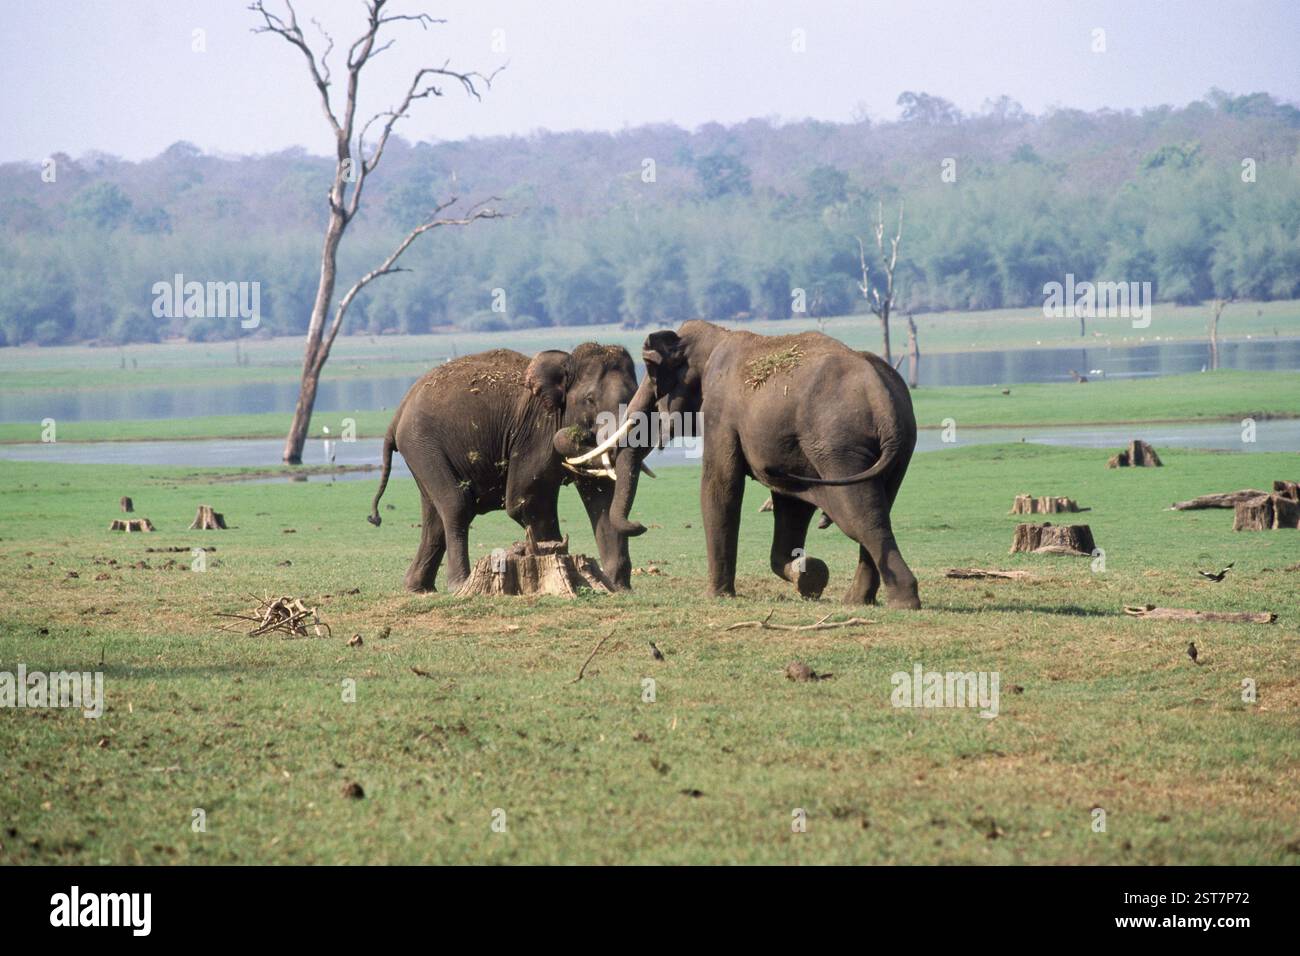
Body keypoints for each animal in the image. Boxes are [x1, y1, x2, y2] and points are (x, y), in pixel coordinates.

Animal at [367, 344, 646, 593]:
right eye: (590, 399)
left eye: (636, 395)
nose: (641, 525)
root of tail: (398, 413)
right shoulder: (535, 435)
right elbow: (527, 501)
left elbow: (602, 498)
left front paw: (616, 587)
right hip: (421, 444)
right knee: (456, 505)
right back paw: (459, 584)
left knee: (434, 517)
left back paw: (417, 588)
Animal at [609, 320, 922, 609]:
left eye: (651, 374)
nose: (640, 525)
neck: (717, 335)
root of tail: (882, 399)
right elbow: (792, 506)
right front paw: (808, 575)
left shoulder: (720, 413)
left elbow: (720, 487)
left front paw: (717, 596)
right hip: (896, 450)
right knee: (879, 510)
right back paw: (857, 601)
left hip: (839, 447)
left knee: (861, 519)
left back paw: (902, 602)